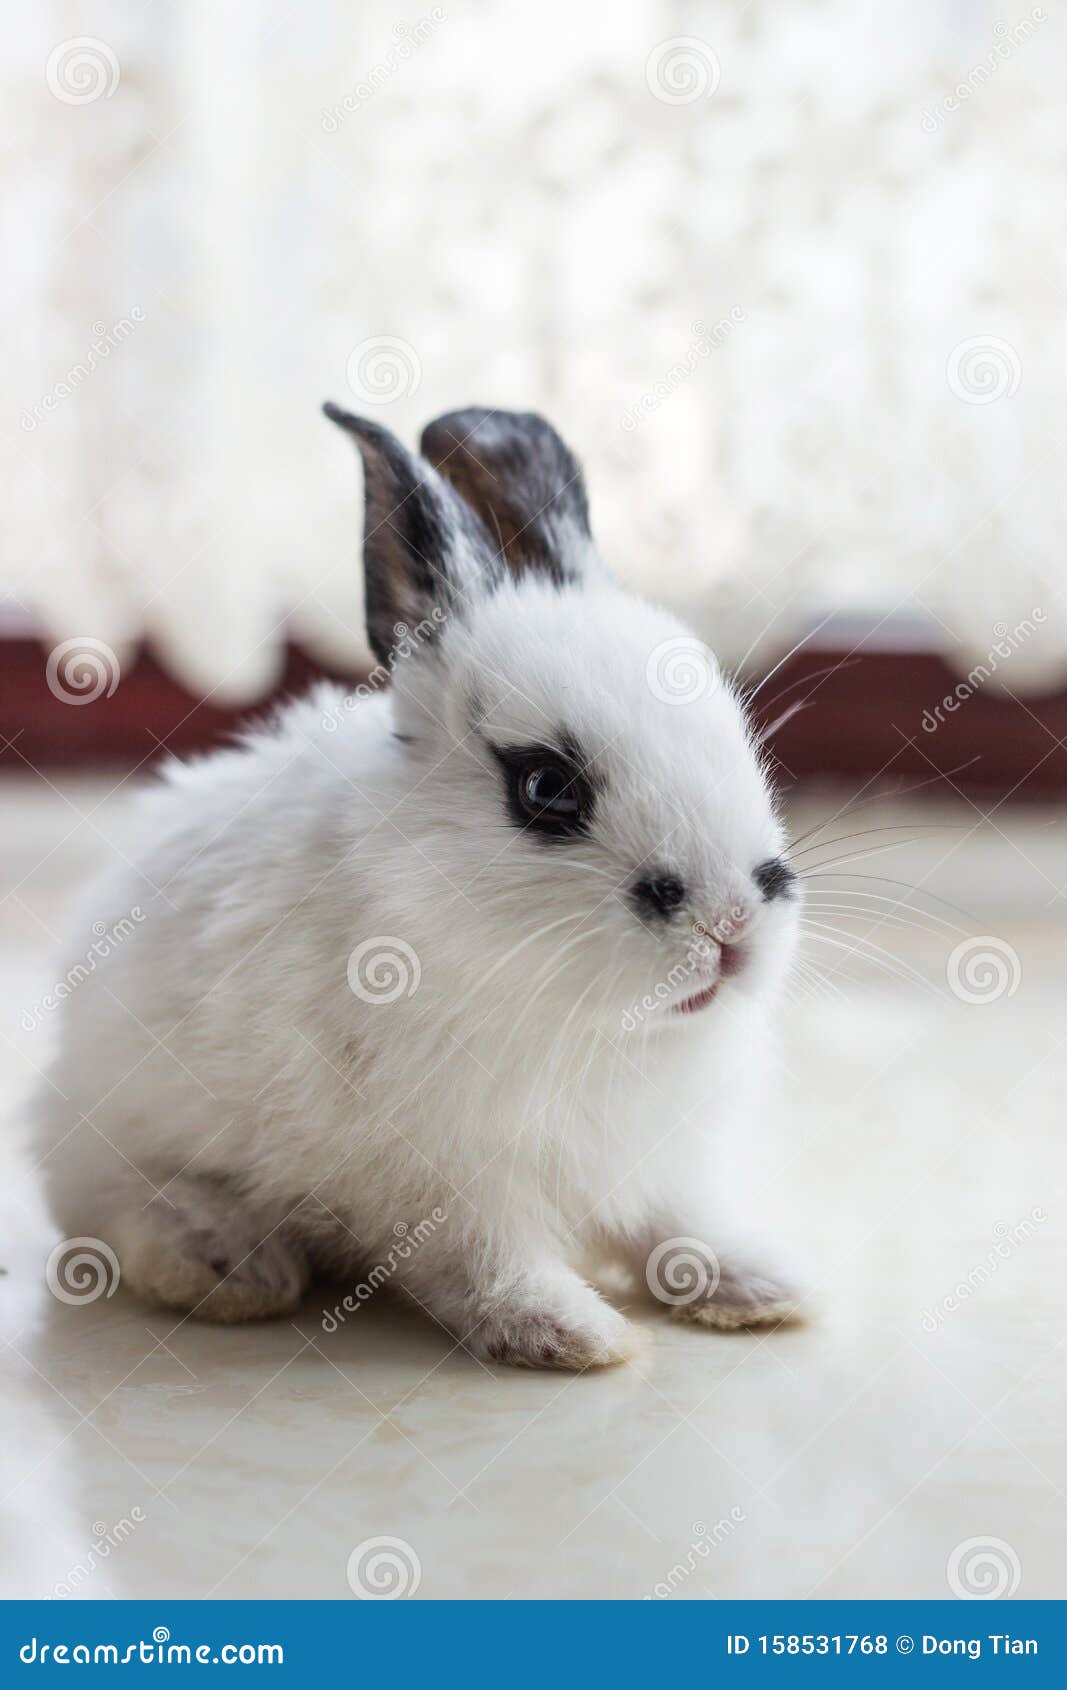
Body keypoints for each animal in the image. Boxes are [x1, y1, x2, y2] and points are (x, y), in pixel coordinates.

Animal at [35, 403, 804, 1370]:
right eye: (545, 786)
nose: (730, 925)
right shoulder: (450, 1185)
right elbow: (490, 1266)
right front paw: (576, 1335)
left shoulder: (656, 1162)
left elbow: (675, 1229)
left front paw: (757, 1288)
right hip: (122, 1137)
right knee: (115, 1206)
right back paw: (230, 1267)